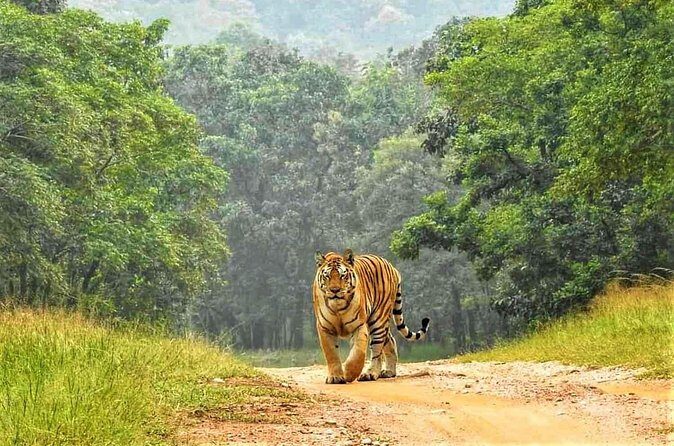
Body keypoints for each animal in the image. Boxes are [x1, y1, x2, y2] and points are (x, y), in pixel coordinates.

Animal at [312, 249, 430, 384]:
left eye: (343, 275)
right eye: (327, 276)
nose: (334, 290)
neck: (338, 307)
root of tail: (392, 267)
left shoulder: (359, 325)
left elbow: (358, 352)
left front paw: (349, 374)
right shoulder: (324, 327)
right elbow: (331, 354)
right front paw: (335, 377)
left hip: (378, 319)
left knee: (377, 349)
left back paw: (370, 373)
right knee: (390, 340)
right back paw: (389, 371)